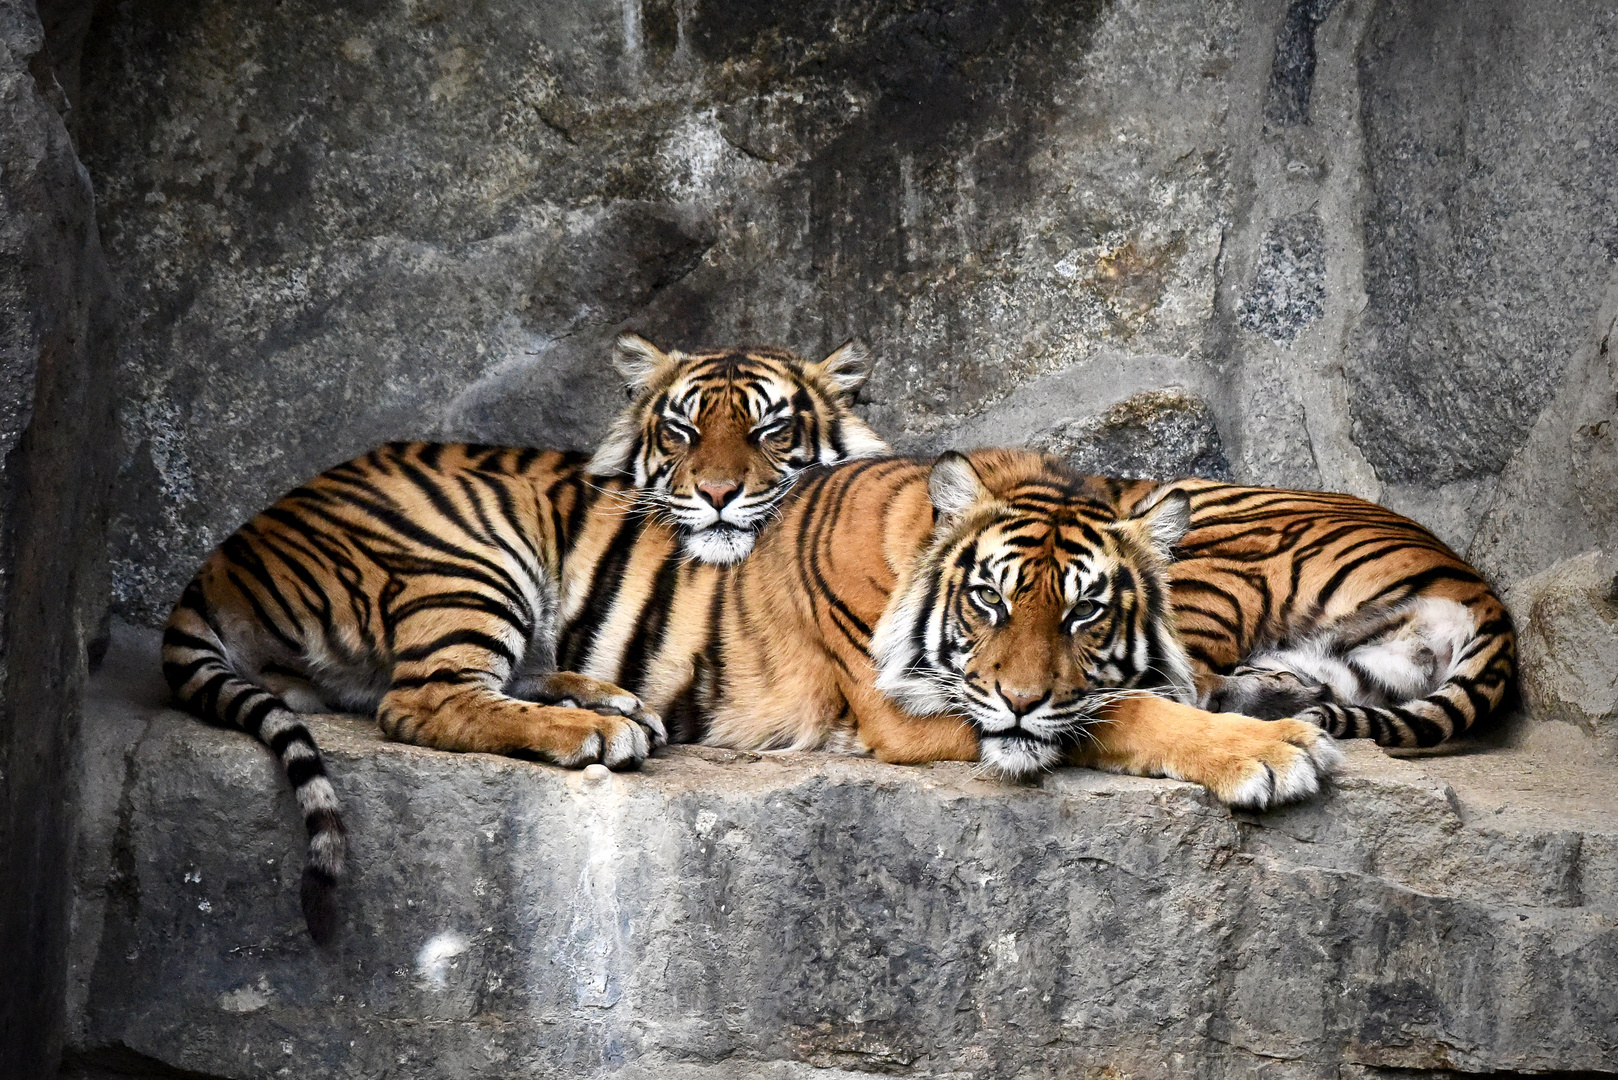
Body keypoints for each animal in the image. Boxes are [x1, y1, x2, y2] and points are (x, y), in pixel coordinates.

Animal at [161, 333, 887, 941]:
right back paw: (598, 727)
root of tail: (224, 555)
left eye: (772, 430)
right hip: (478, 549)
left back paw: (607, 700)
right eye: (681, 431)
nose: (715, 493)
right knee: (427, 698)